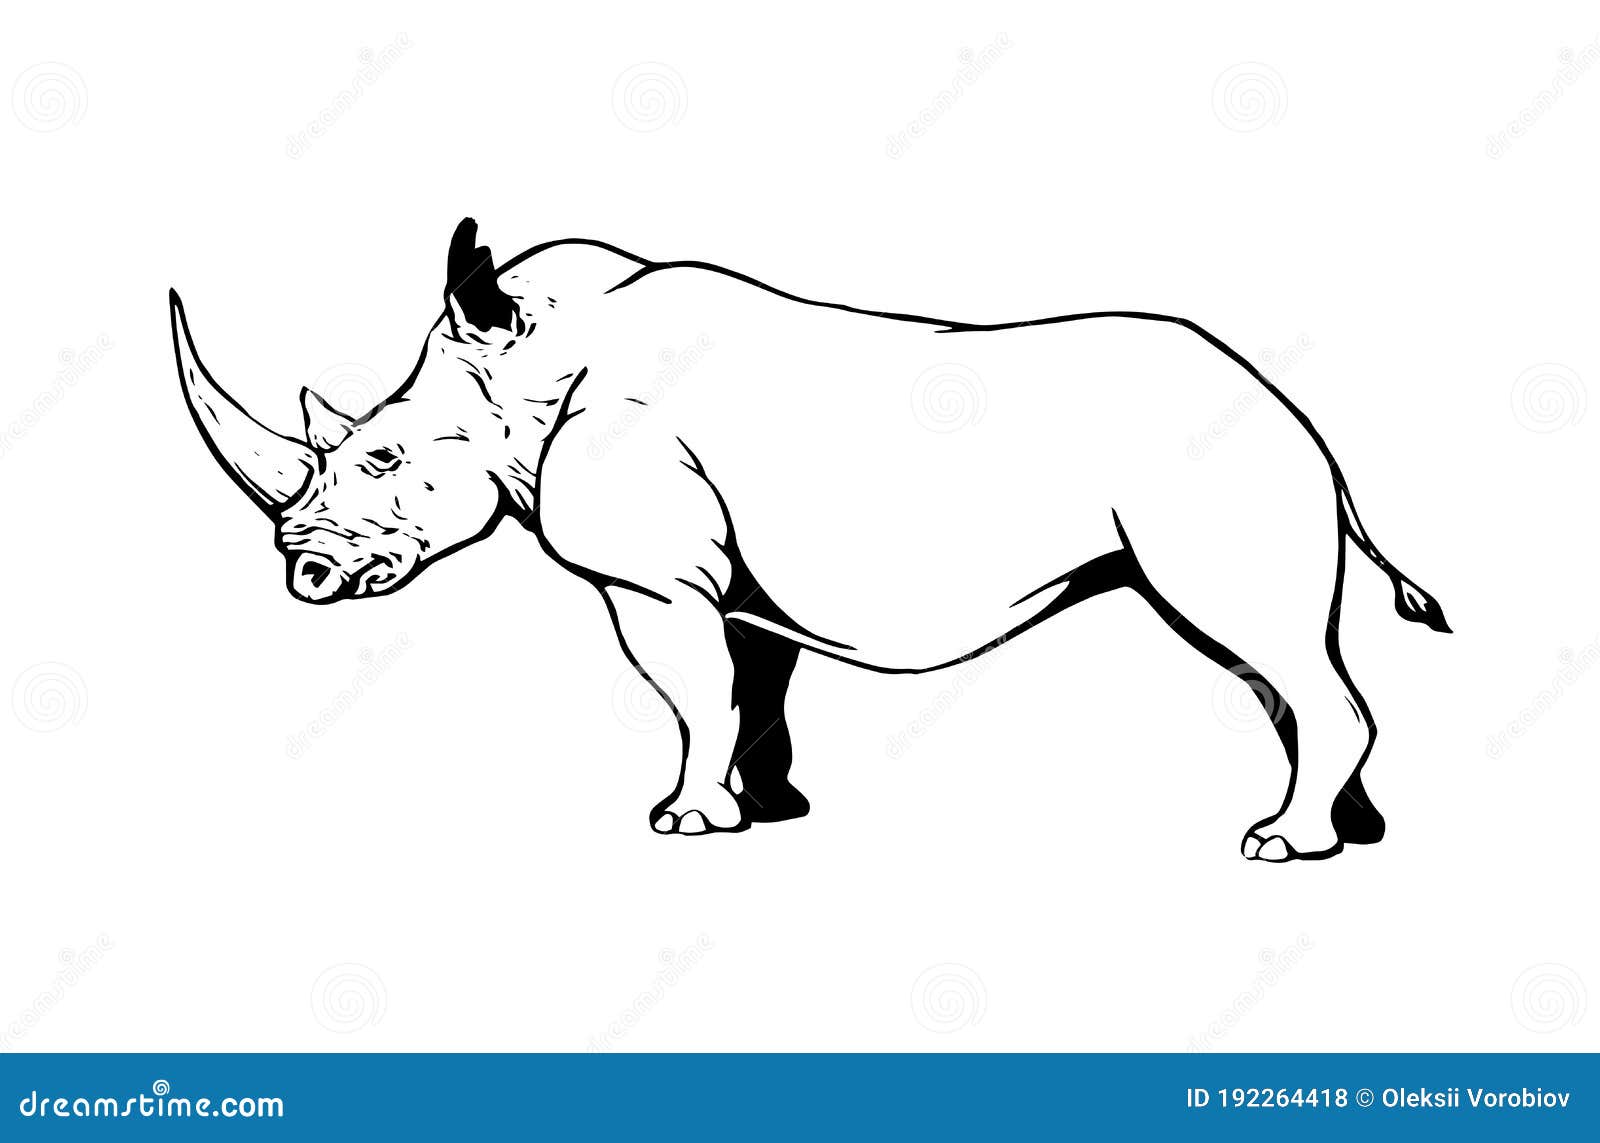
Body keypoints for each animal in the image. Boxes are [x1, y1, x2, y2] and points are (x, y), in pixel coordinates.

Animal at [169, 218, 1449, 861]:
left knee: (1258, 641)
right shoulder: (727, 576)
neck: (523, 374)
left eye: (383, 457)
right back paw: (1347, 832)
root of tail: (1299, 420)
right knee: (1261, 656)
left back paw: (1283, 845)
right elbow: (752, 689)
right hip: (1231, 473)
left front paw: (684, 828)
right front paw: (766, 812)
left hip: (1213, 470)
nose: (305, 571)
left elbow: (690, 693)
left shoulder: (649, 577)